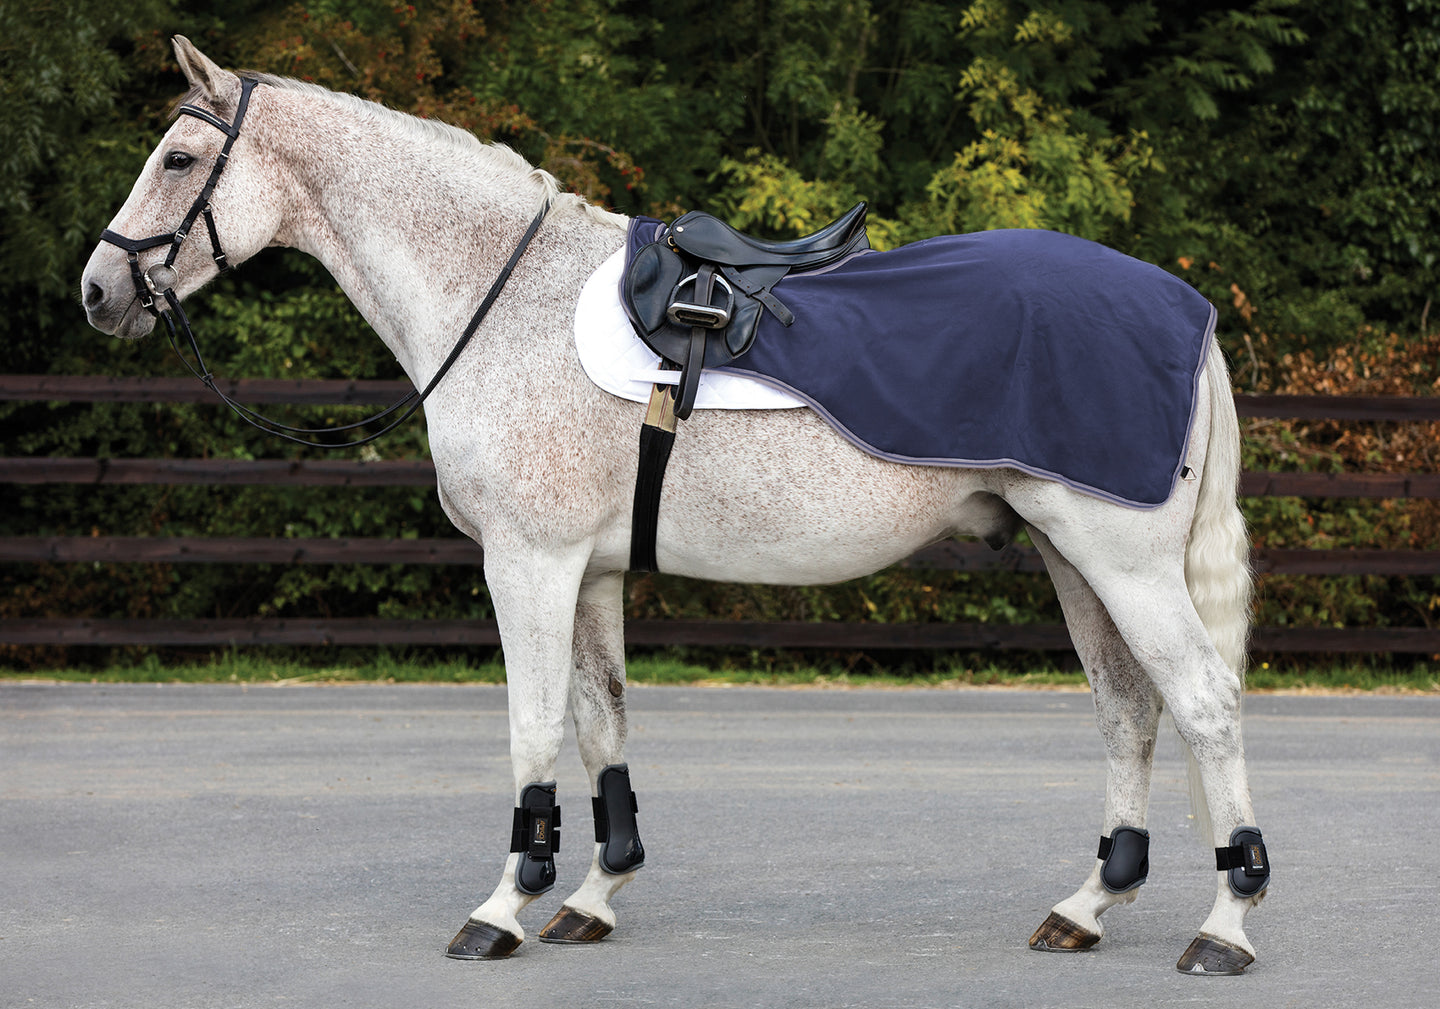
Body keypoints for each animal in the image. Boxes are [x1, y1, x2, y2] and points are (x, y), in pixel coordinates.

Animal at [81, 37, 1269, 975]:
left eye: (178, 159)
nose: (97, 291)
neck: (501, 296)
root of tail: (1185, 307)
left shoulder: (530, 562)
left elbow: (531, 726)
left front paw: (503, 907)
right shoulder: (591, 570)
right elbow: (602, 723)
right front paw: (593, 896)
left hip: (1122, 561)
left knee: (1205, 703)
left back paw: (1225, 926)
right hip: (1076, 560)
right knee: (1130, 710)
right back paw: (1088, 905)